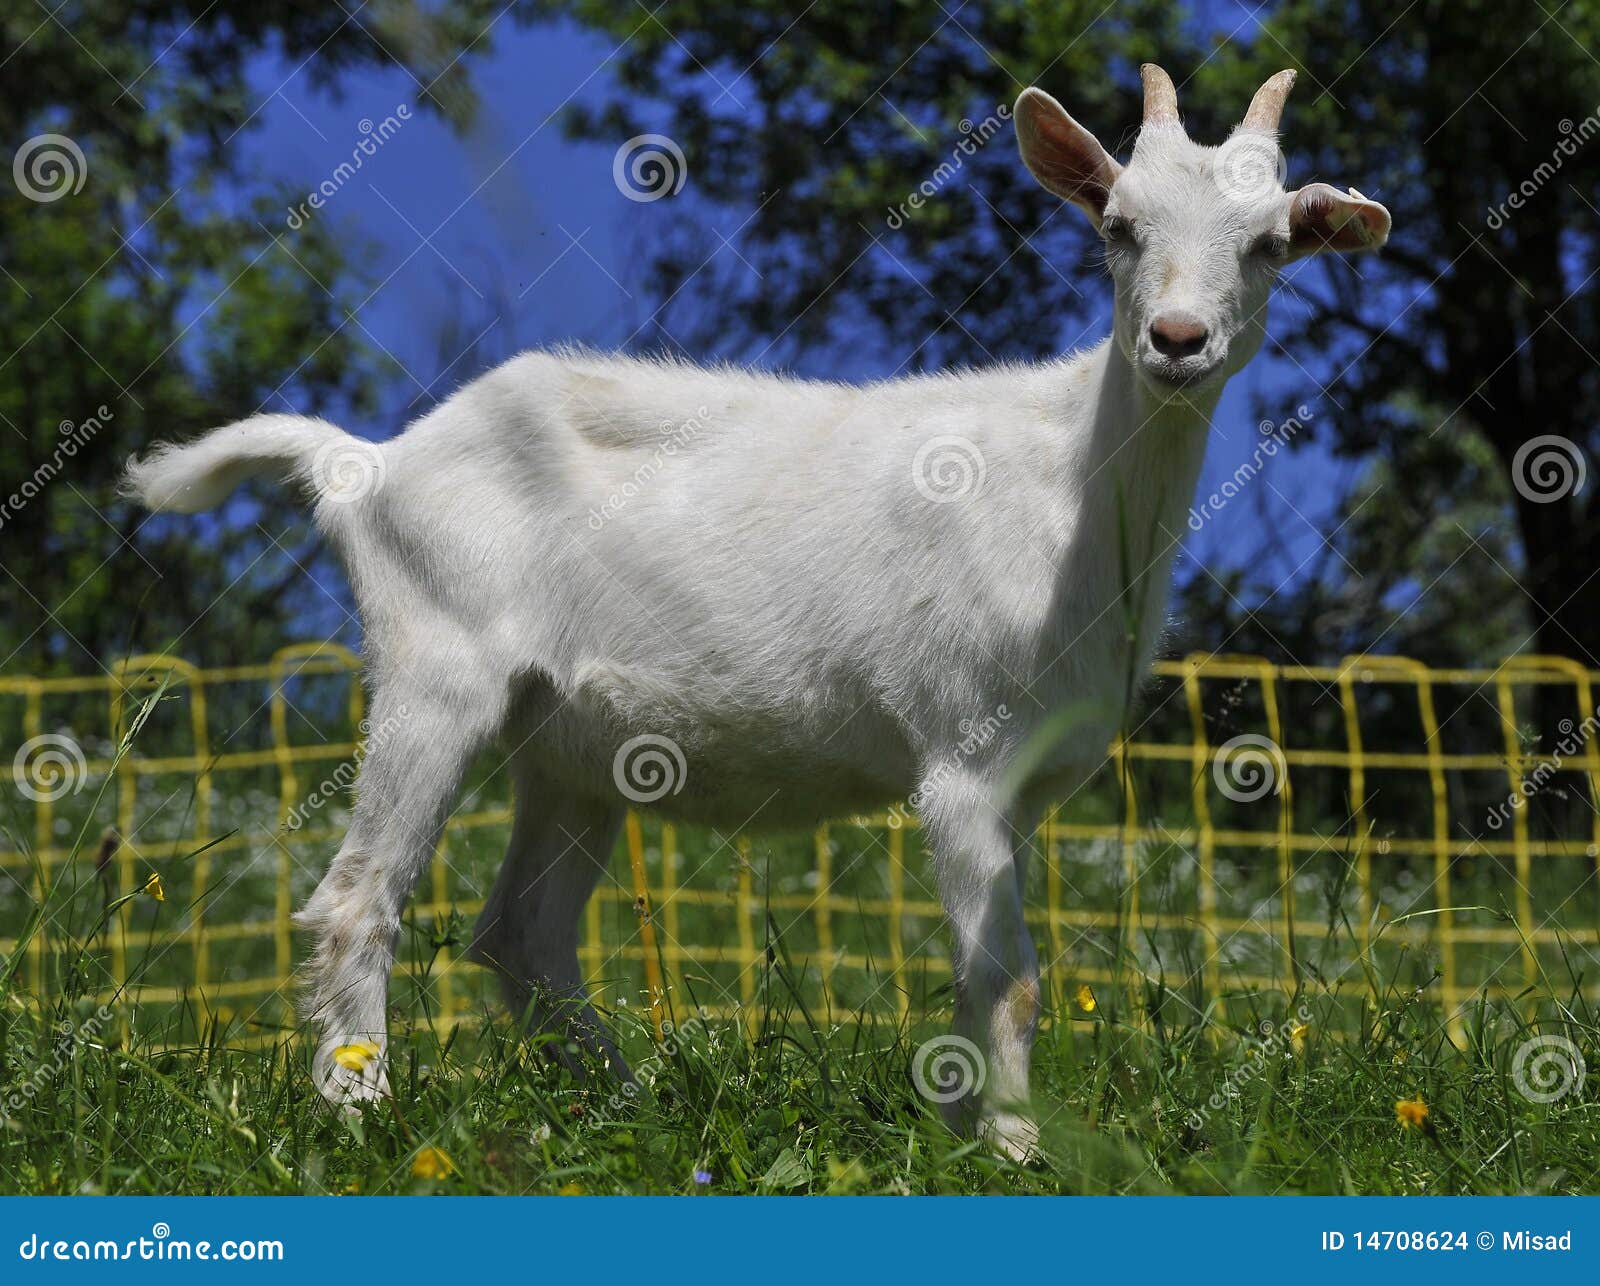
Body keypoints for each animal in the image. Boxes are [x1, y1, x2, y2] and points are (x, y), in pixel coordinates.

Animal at [122, 65, 1390, 1159]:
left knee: (522, 932)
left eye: (1271, 243)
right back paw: (362, 1112)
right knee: (357, 897)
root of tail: (366, 464)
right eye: (1117, 225)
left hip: (569, 748)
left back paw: (631, 1102)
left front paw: (972, 1123)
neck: (1075, 490)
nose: (1176, 342)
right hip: (436, 665)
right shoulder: (961, 755)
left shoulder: (1028, 782)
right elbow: (1009, 974)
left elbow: (991, 965)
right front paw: (1016, 1149)